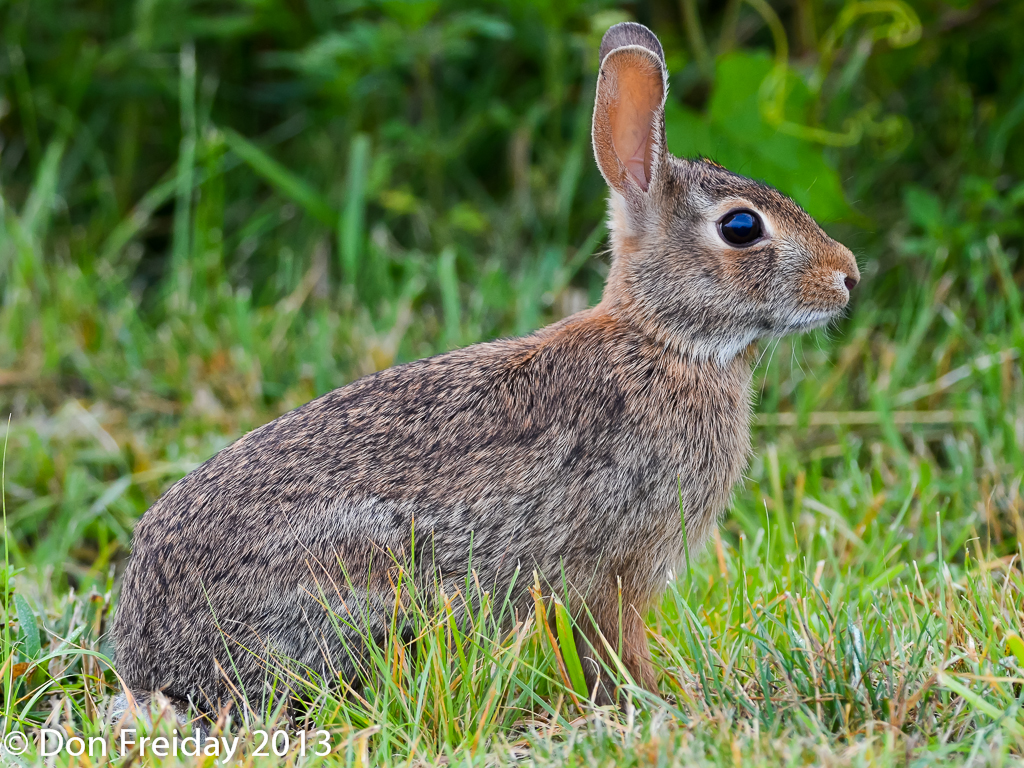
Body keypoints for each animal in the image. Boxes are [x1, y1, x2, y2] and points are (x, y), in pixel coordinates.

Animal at [113, 21, 859, 717]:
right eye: (742, 228)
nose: (848, 277)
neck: (664, 341)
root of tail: (151, 664)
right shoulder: (616, 569)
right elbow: (615, 650)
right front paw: (660, 705)